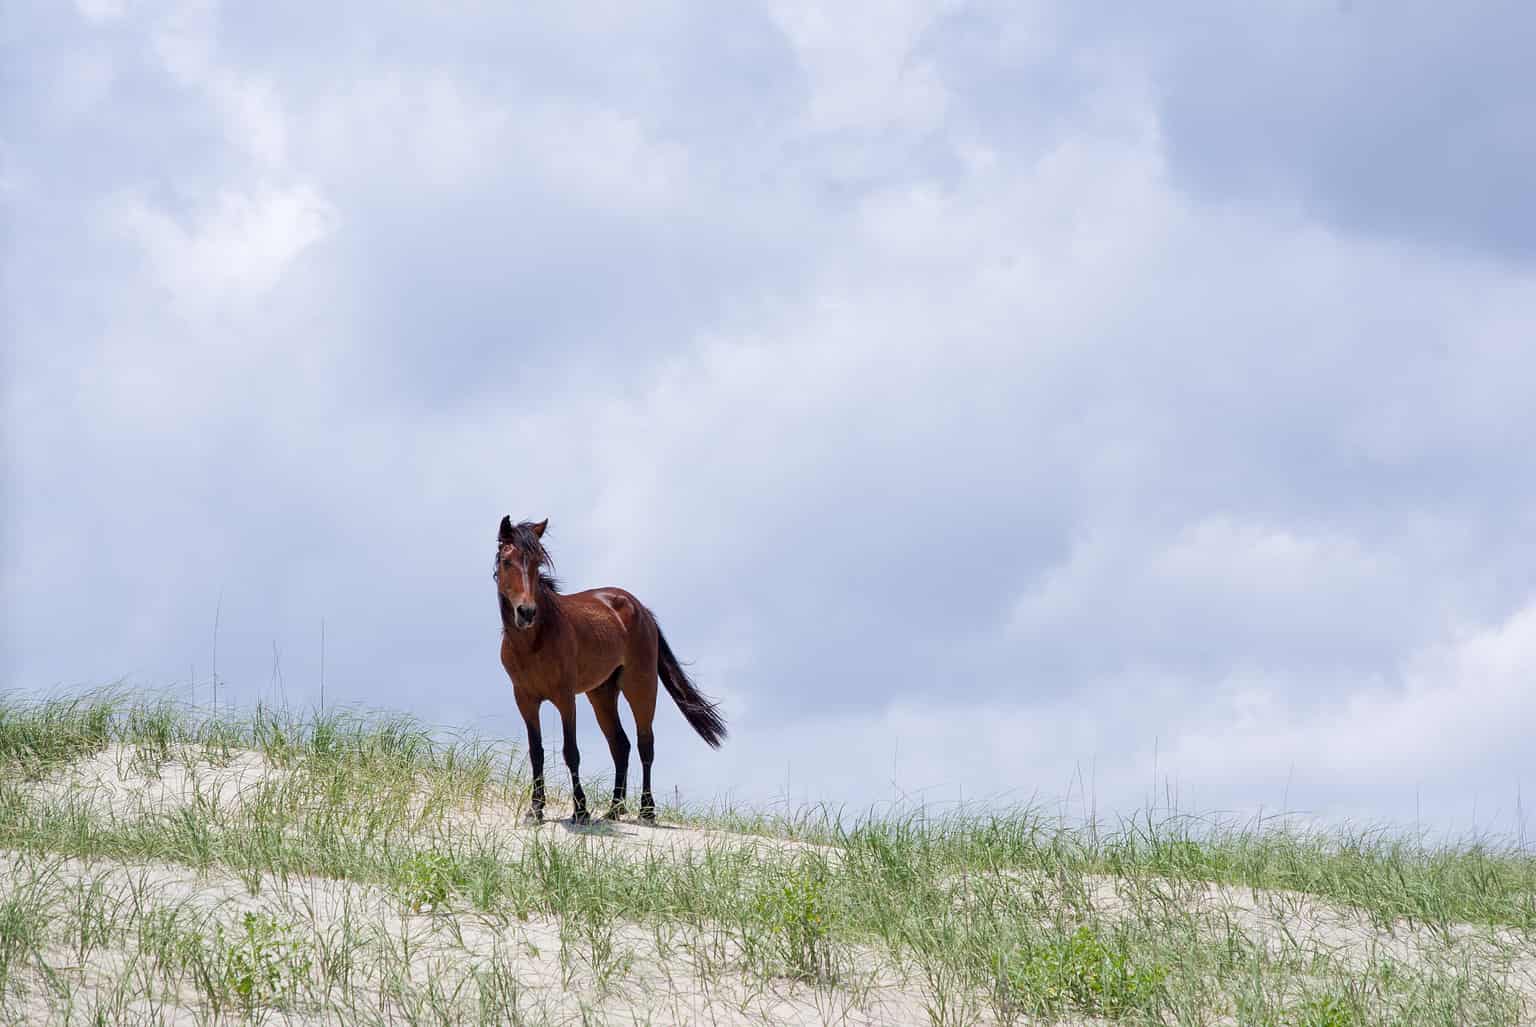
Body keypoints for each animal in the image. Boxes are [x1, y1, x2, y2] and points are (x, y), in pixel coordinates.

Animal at [493, 516, 726, 823]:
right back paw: (615, 808)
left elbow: (571, 752)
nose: (527, 612)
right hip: (601, 693)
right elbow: (536, 752)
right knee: (620, 745)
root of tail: (640, 608)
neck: (534, 641)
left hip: (640, 686)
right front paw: (535, 809)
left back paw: (646, 811)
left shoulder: (565, 698)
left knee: (644, 744)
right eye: (507, 561)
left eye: (537, 563)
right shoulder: (525, 699)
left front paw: (580, 810)